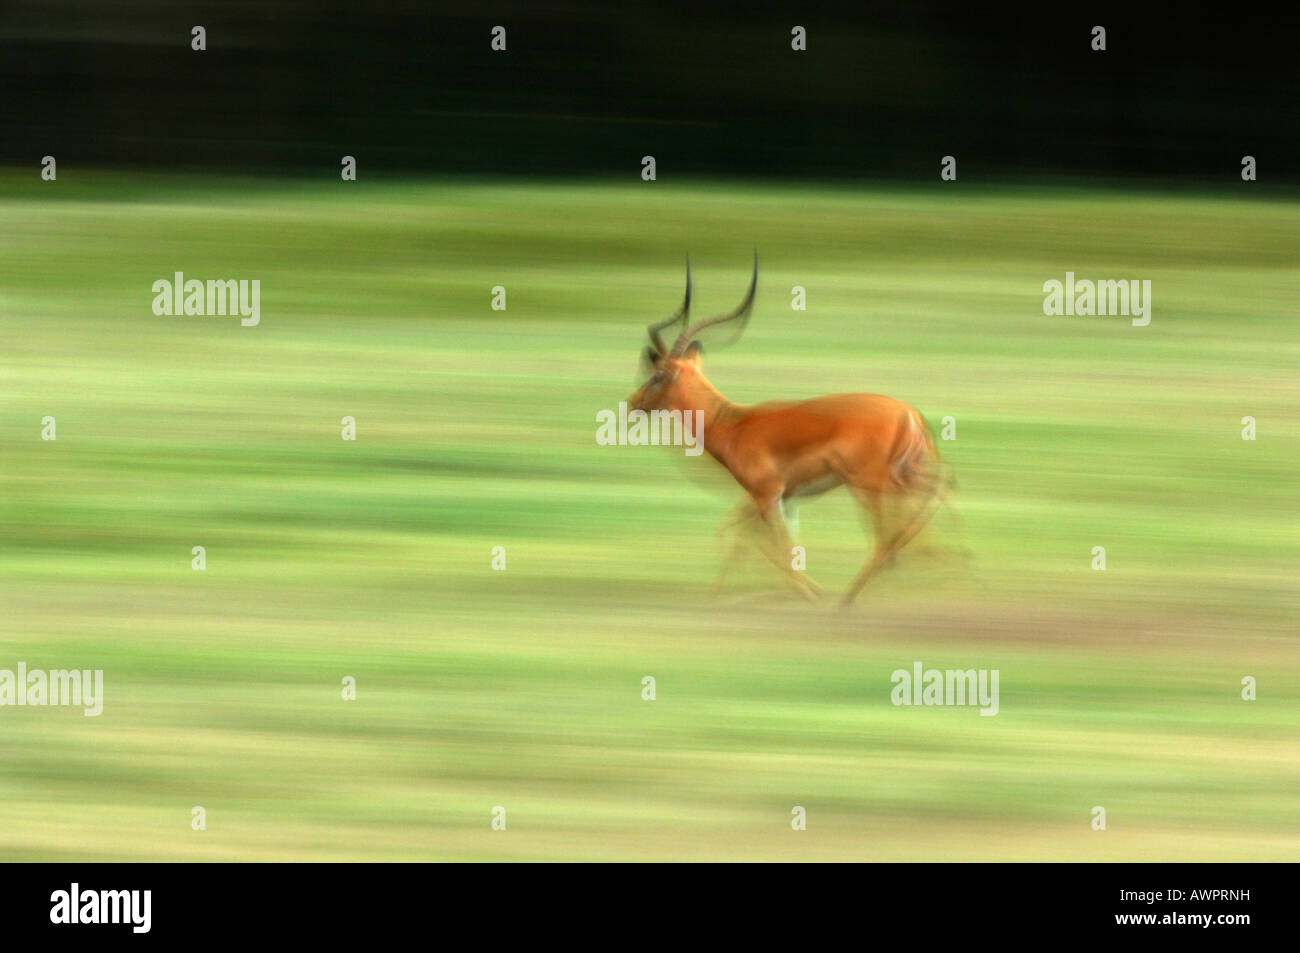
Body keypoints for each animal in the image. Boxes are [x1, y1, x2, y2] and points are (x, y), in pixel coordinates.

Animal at [628, 255, 950, 607]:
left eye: (657, 375)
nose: (633, 402)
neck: (733, 424)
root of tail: (909, 414)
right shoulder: (786, 498)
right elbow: (780, 546)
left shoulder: (766, 495)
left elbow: (775, 548)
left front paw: (809, 596)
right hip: (903, 475)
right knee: (938, 492)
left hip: (870, 483)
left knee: (886, 535)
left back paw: (849, 597)